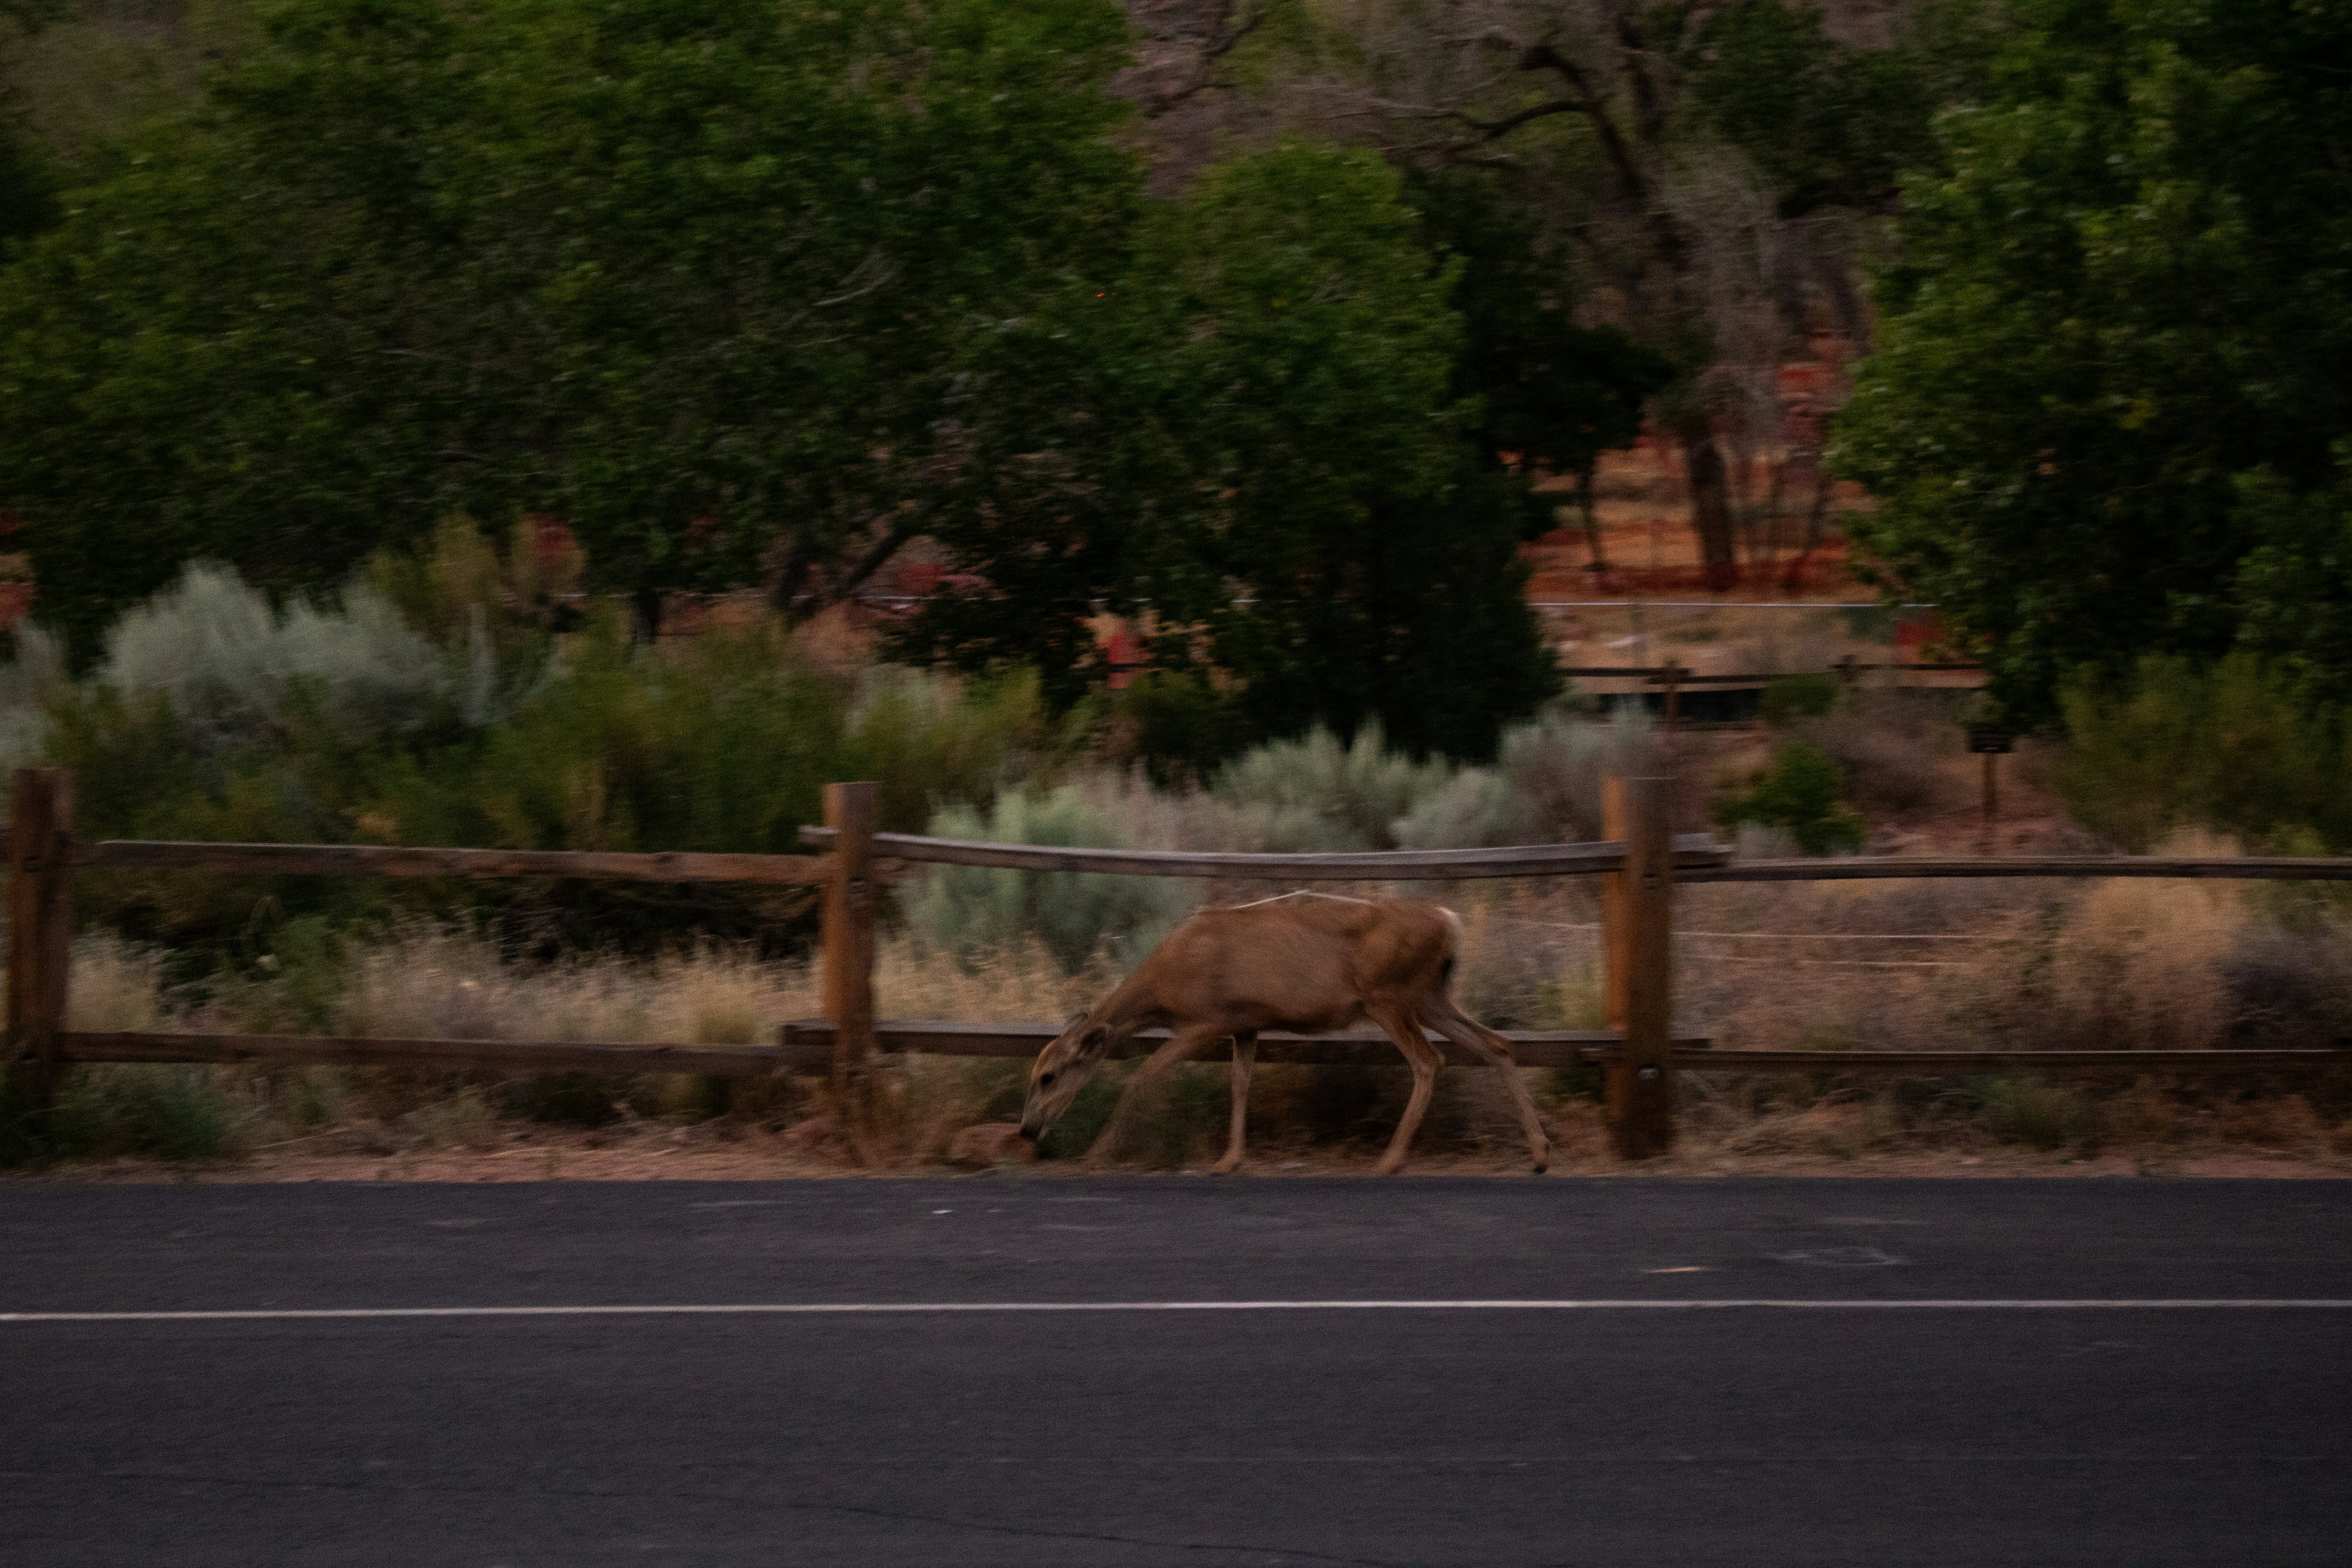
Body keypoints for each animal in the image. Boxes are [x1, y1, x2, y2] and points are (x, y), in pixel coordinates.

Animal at [1018, 893, 1550, 1175]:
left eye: (1048, 1076)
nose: (1026, 1129)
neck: (1165, 983)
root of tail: (1450, 922)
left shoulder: (1207, 1020)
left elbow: (1144, 1074)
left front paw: (1097, 1154)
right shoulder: (1247, 1023)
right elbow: (1240, 1084)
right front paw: (1230, 1160)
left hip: (1388, 995)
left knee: (1429, 1061)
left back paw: (1390, 1160)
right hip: (1430, 995)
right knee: (1498, 1043)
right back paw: (1540, 1155)